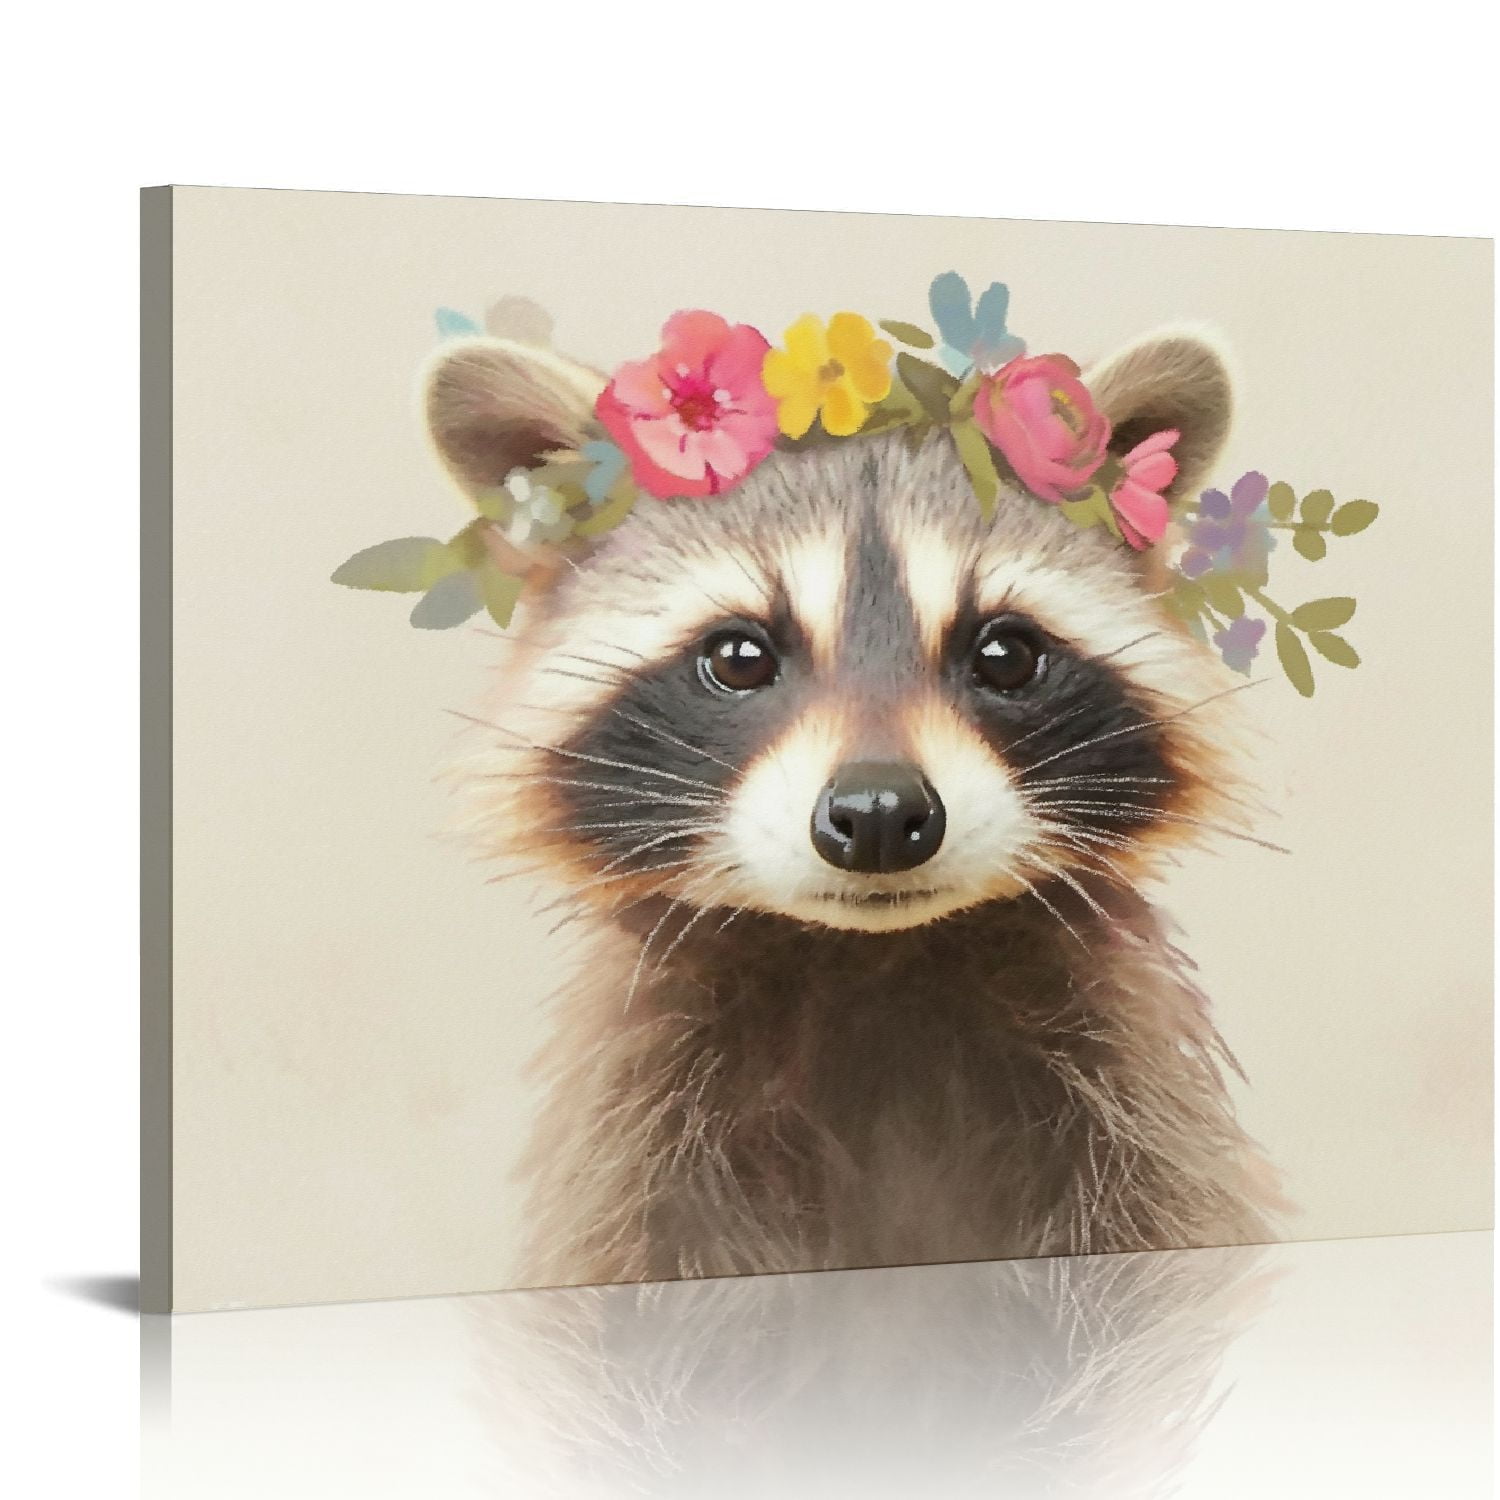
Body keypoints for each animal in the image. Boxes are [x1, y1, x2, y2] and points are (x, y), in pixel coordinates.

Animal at [426, 326, 1283, 1289]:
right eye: (739, 656)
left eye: (1007, 654)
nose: (877, 812)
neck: (871, 965)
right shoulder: (635, 1144)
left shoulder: (1134, 1115)